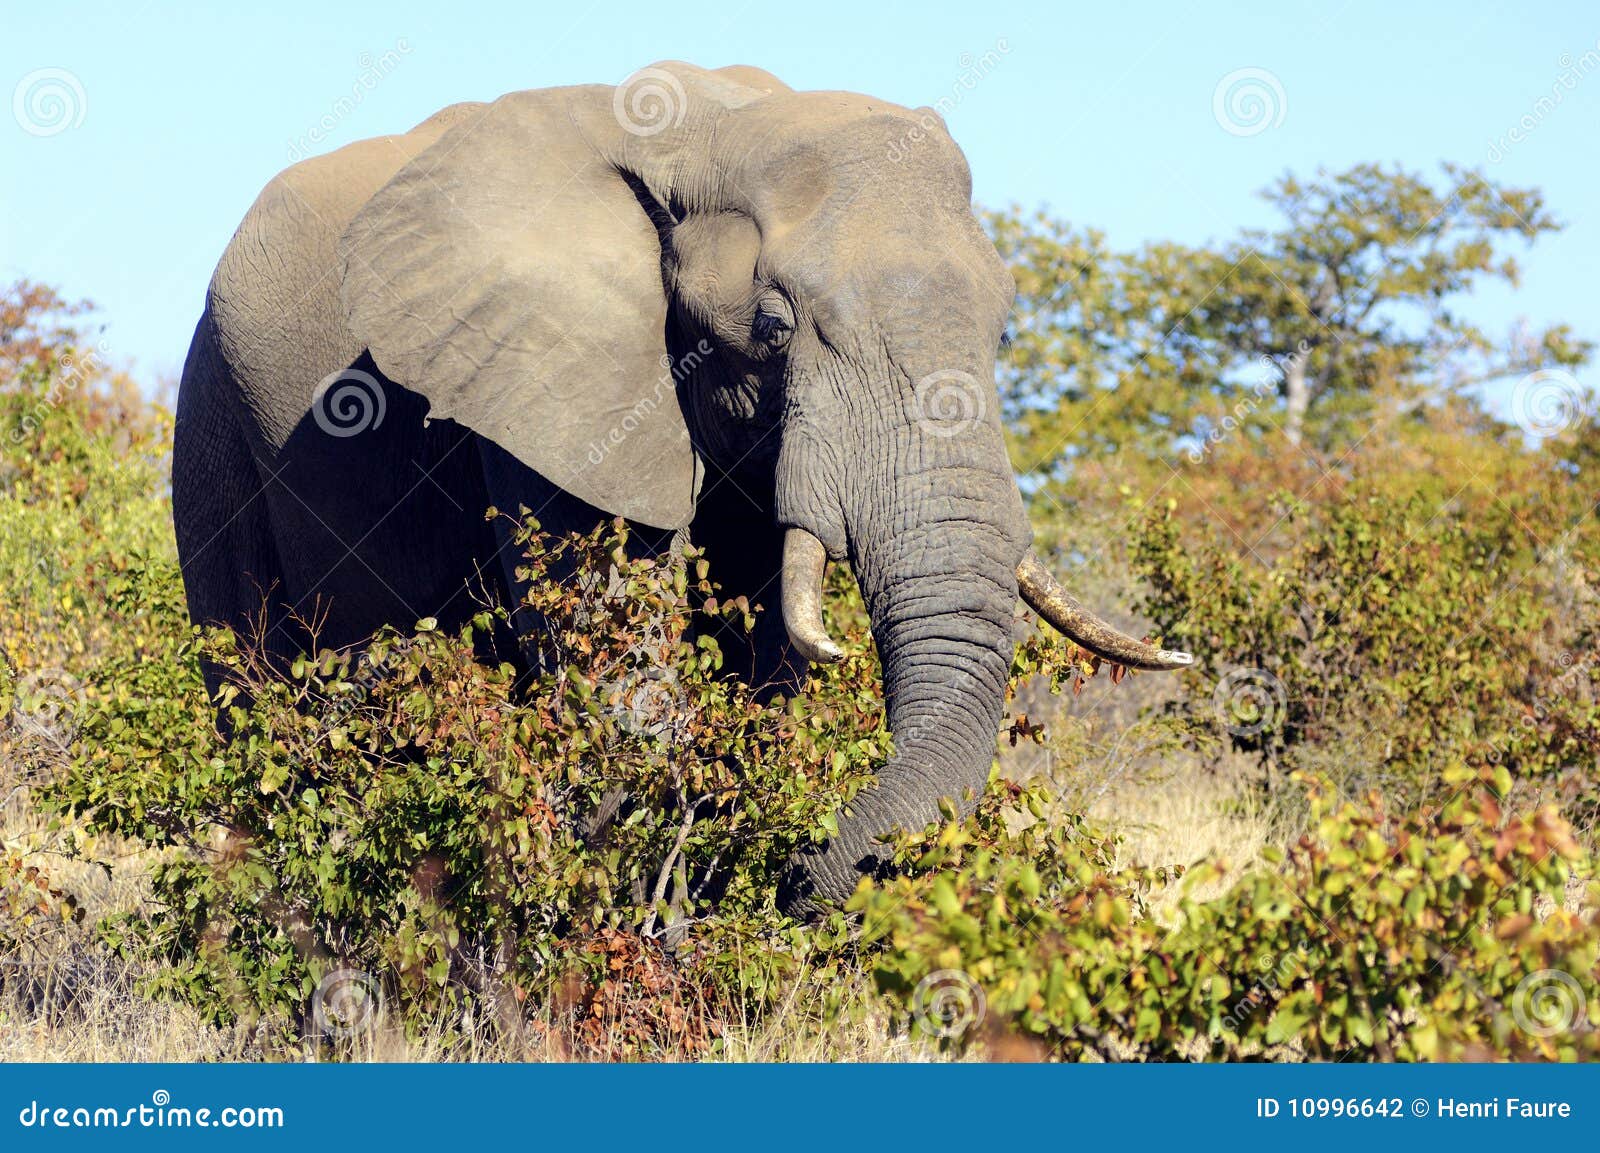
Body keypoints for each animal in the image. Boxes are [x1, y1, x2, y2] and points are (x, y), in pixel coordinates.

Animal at [171, 62, 1191, 915]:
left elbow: (759, 656)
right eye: (774, 330)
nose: (810, 869)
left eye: (1004, 332)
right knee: (254, 698)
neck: (705, 130)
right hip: (211, 412)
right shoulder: (551, 386)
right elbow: (616, 655)